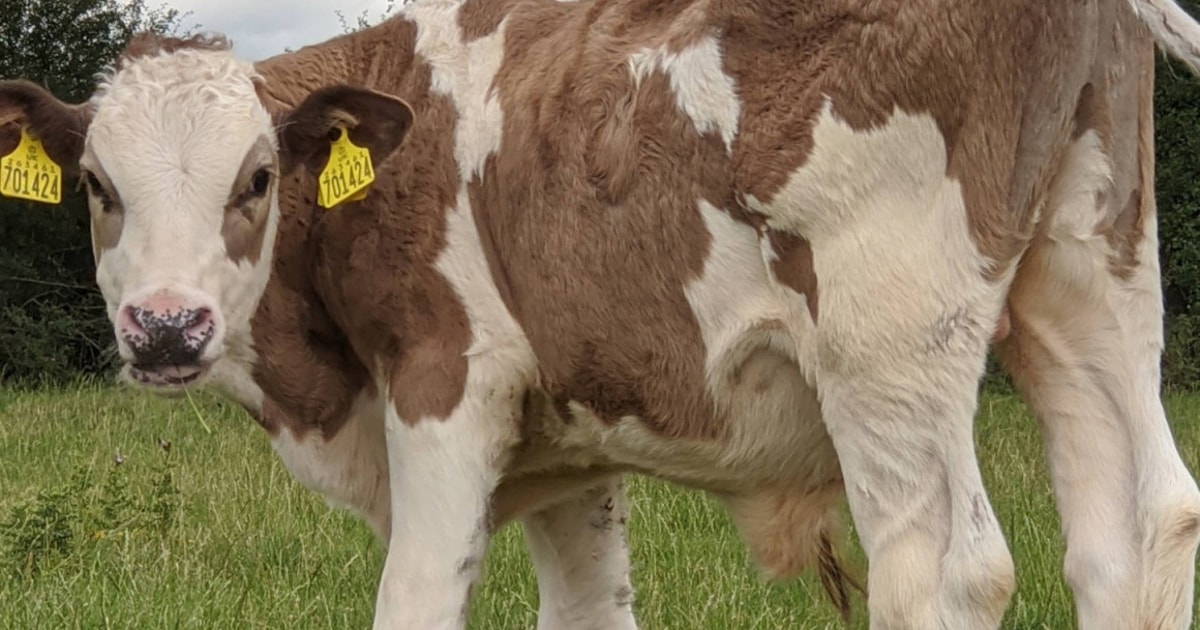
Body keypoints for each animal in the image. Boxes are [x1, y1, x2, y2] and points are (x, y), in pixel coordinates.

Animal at [3, 0, 1200, 628]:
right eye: (98, 187)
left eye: (256, 180)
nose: (166, 328)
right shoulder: (570, 451)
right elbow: (589, 612)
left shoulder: (447, 387)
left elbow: (416, 596)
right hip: (1093, 290)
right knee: (1140, 530)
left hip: (889, 349)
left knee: (945, 576)